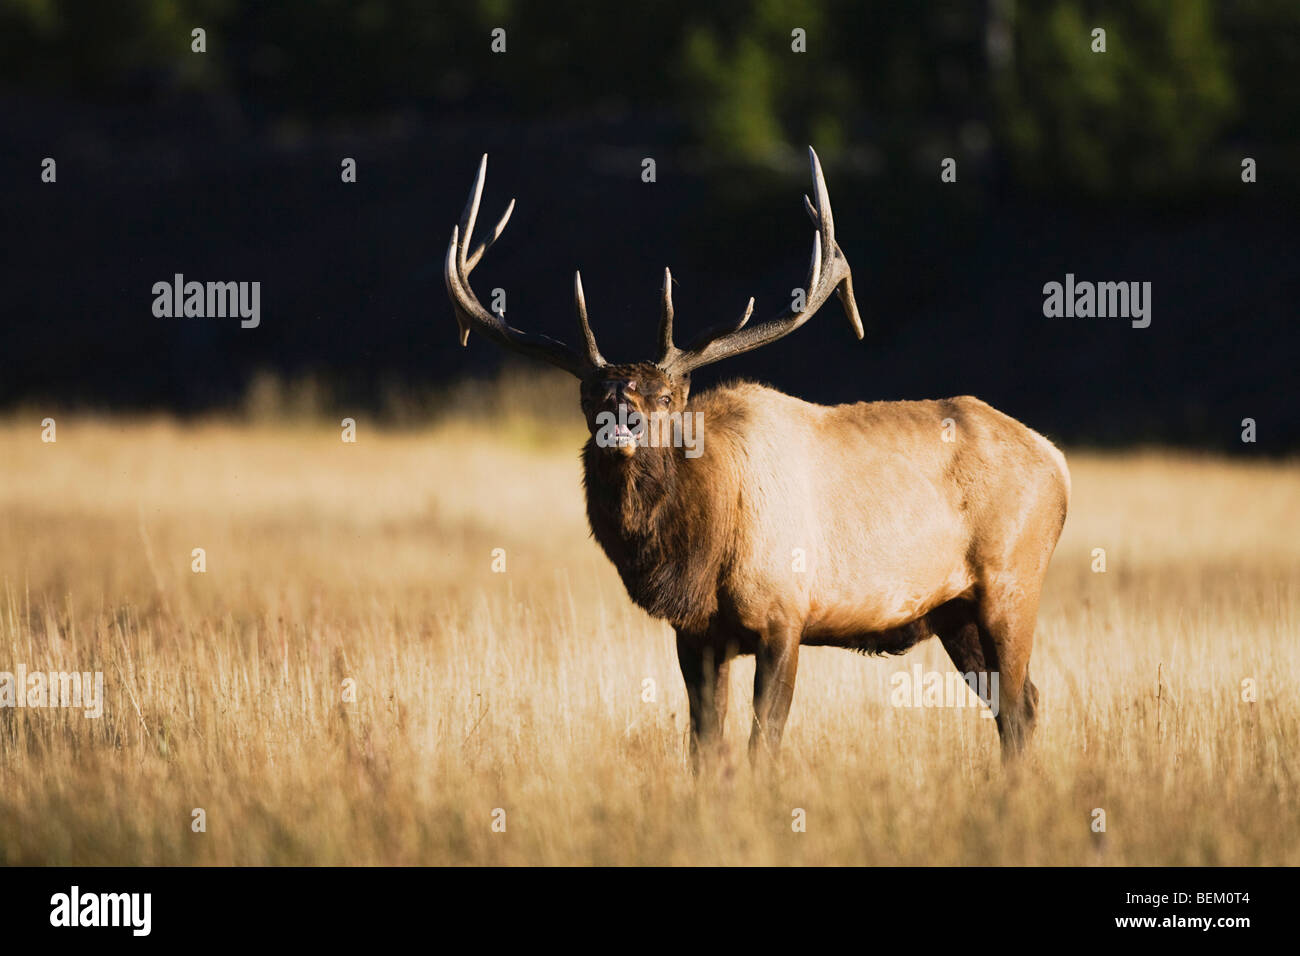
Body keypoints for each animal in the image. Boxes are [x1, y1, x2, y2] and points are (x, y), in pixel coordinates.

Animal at [442, 148, 1070, 769]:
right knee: (1022, 705)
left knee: (1020, 704)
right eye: (592, 395)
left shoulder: (783, 614)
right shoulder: (696, 634)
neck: (702, 548)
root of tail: (1058, 462)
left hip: (1012, 583)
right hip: (955, 612)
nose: (623, 418)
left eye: (665, 398)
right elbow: (705, 748)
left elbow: (761, 745)